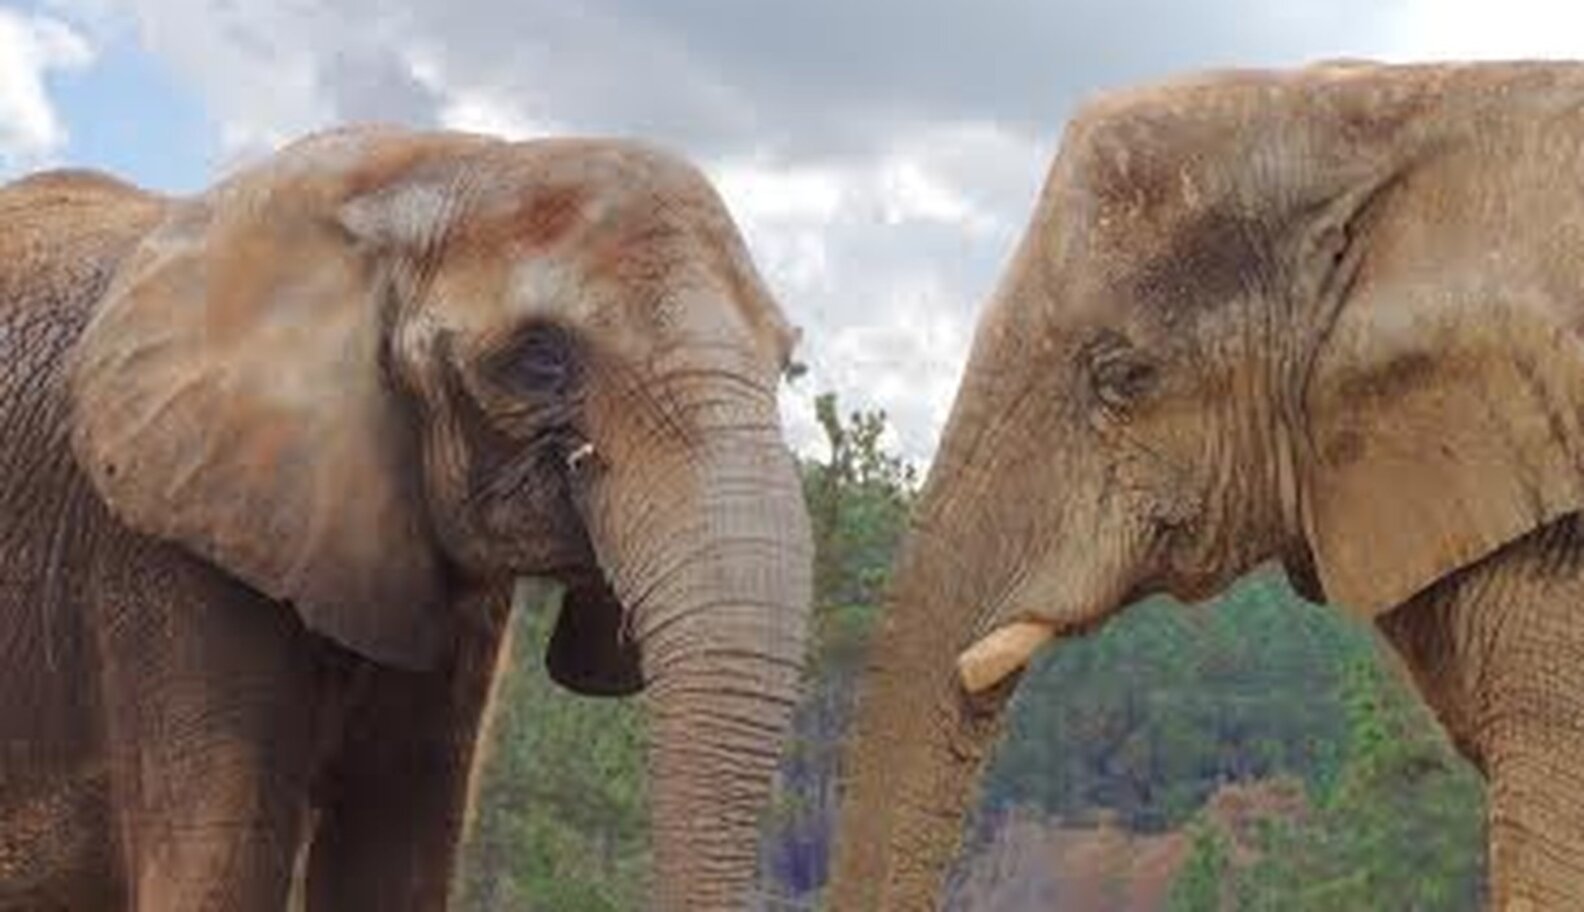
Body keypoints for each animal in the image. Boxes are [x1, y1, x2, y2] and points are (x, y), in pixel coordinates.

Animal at [0, 124, 811, 911]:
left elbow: (393, 858)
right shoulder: (167, 550)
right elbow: (220, 865)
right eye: (540, 360)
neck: (433, 175)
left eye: (785, 362)